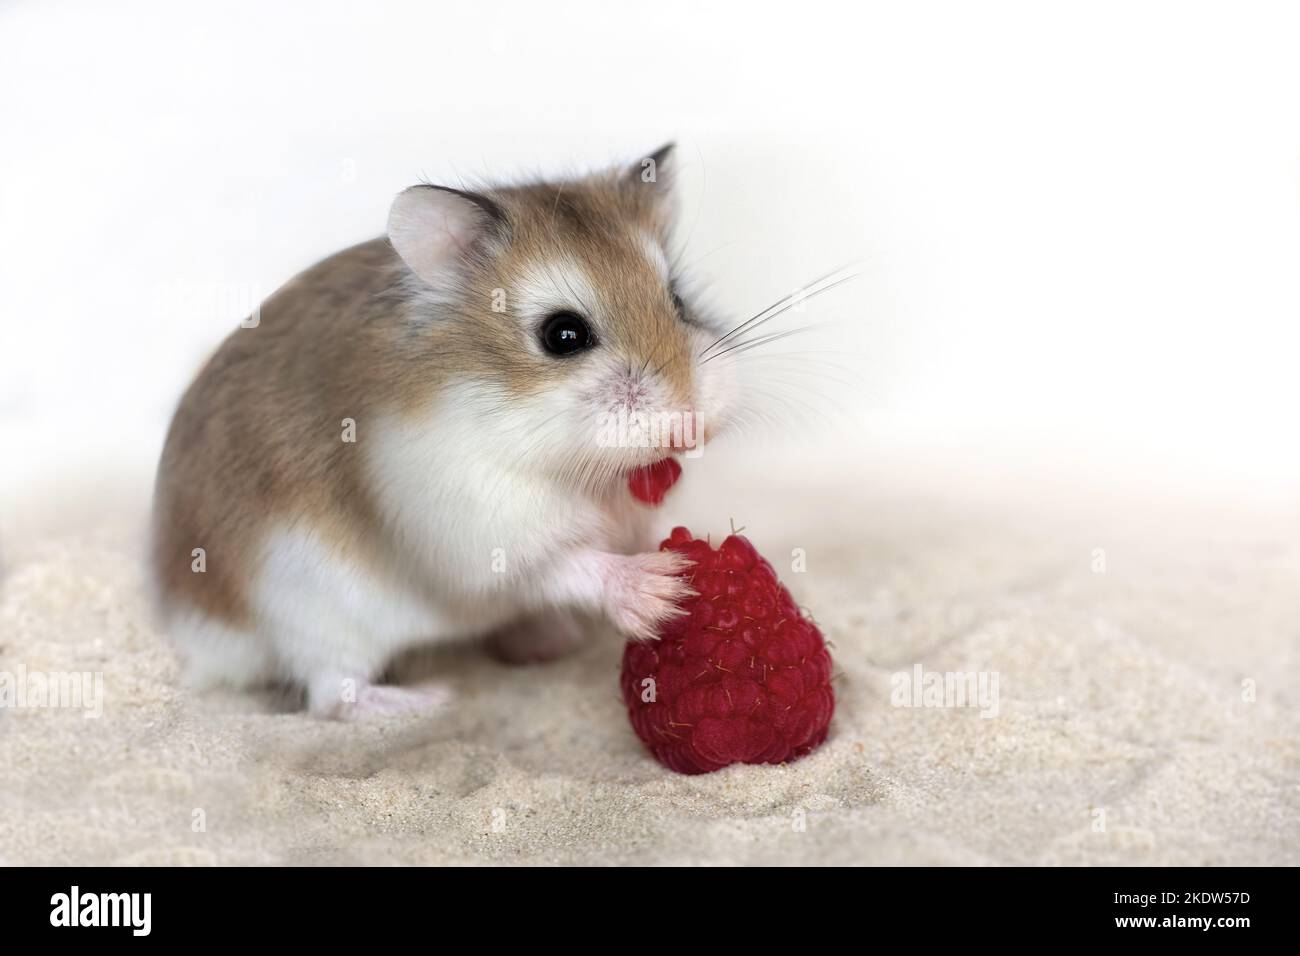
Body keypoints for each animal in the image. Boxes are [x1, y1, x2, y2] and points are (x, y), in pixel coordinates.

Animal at [150, 145, 738, 717]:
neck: (563, 461)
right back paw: (430, 699)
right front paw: (664, 590)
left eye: (678, 299)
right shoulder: (477, 539)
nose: (689, 428)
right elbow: (565, 566)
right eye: (563, 335)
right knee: (332, 698)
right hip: (314, 618)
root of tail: (188, 624)